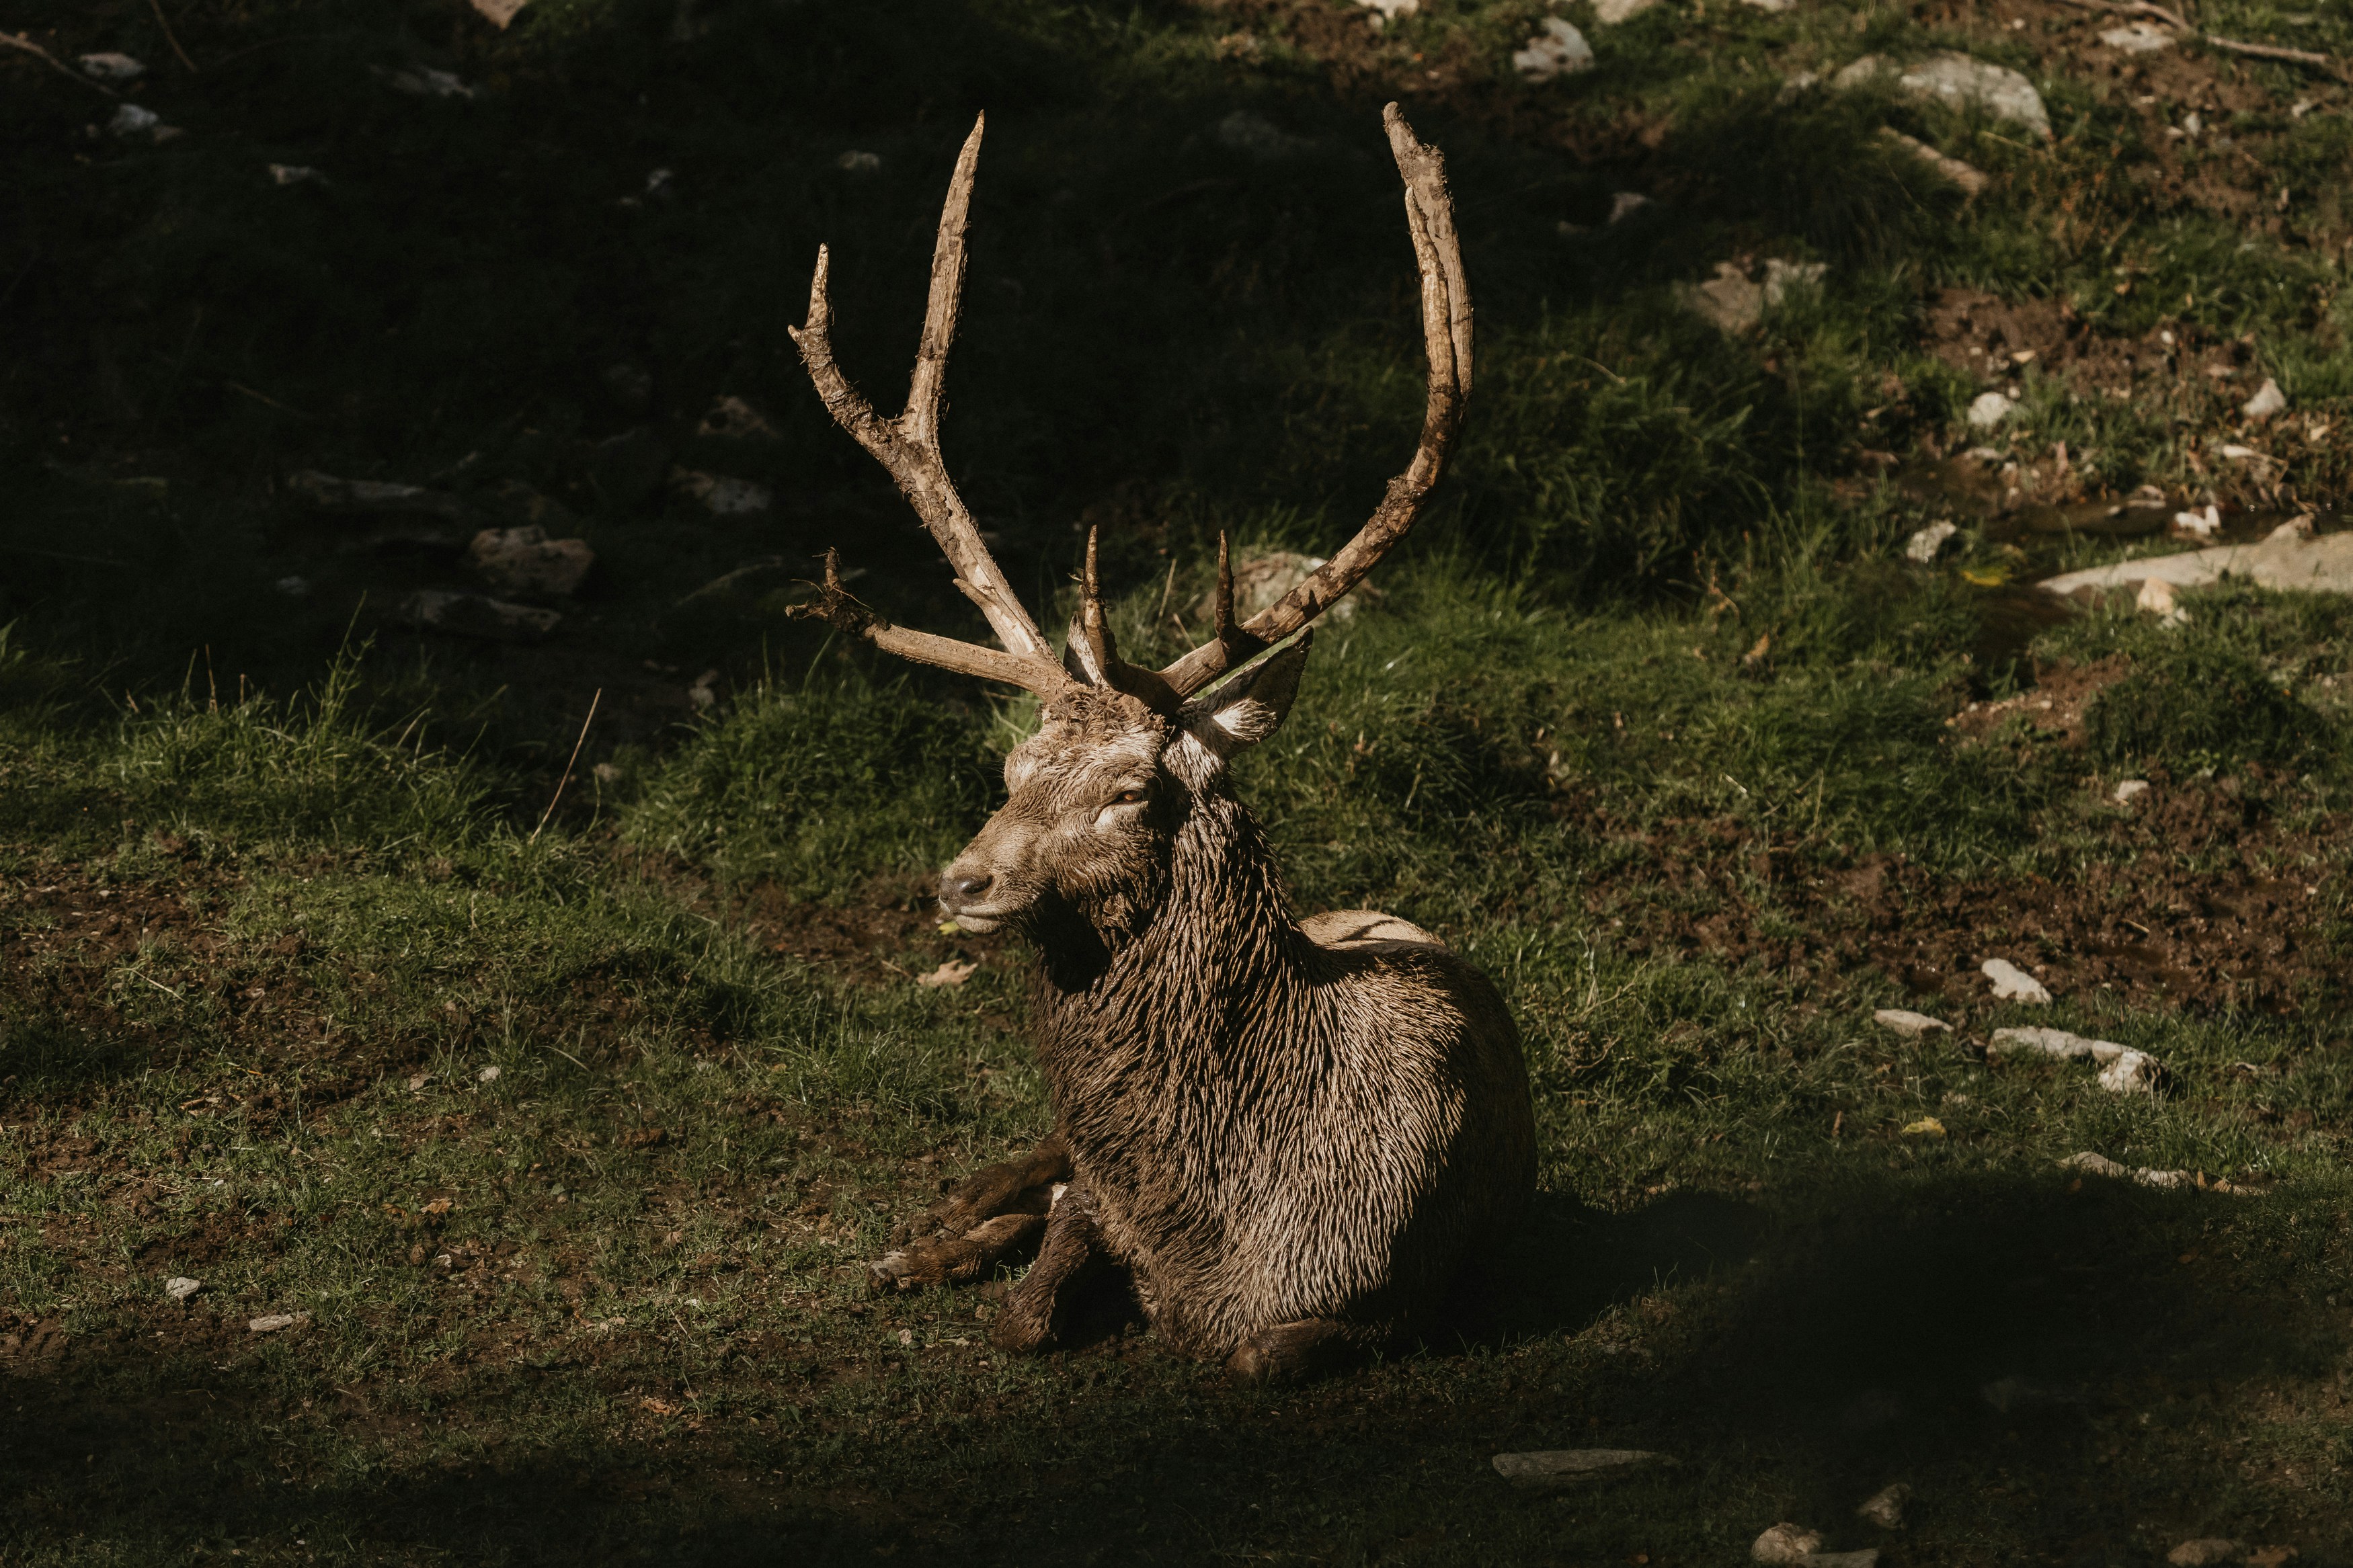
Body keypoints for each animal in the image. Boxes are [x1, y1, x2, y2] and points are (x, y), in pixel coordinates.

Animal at [782, 104, 1535, 1384]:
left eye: (1134, 788)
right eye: (1008, 769)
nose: (961, 881)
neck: (1221, 1233)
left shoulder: (1401, 1294)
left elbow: (1256, 1353)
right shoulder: (1100, 1201)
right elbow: (1034, 1291)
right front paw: (956, 1258)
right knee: (1024, 1166)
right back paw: (929, 1233)